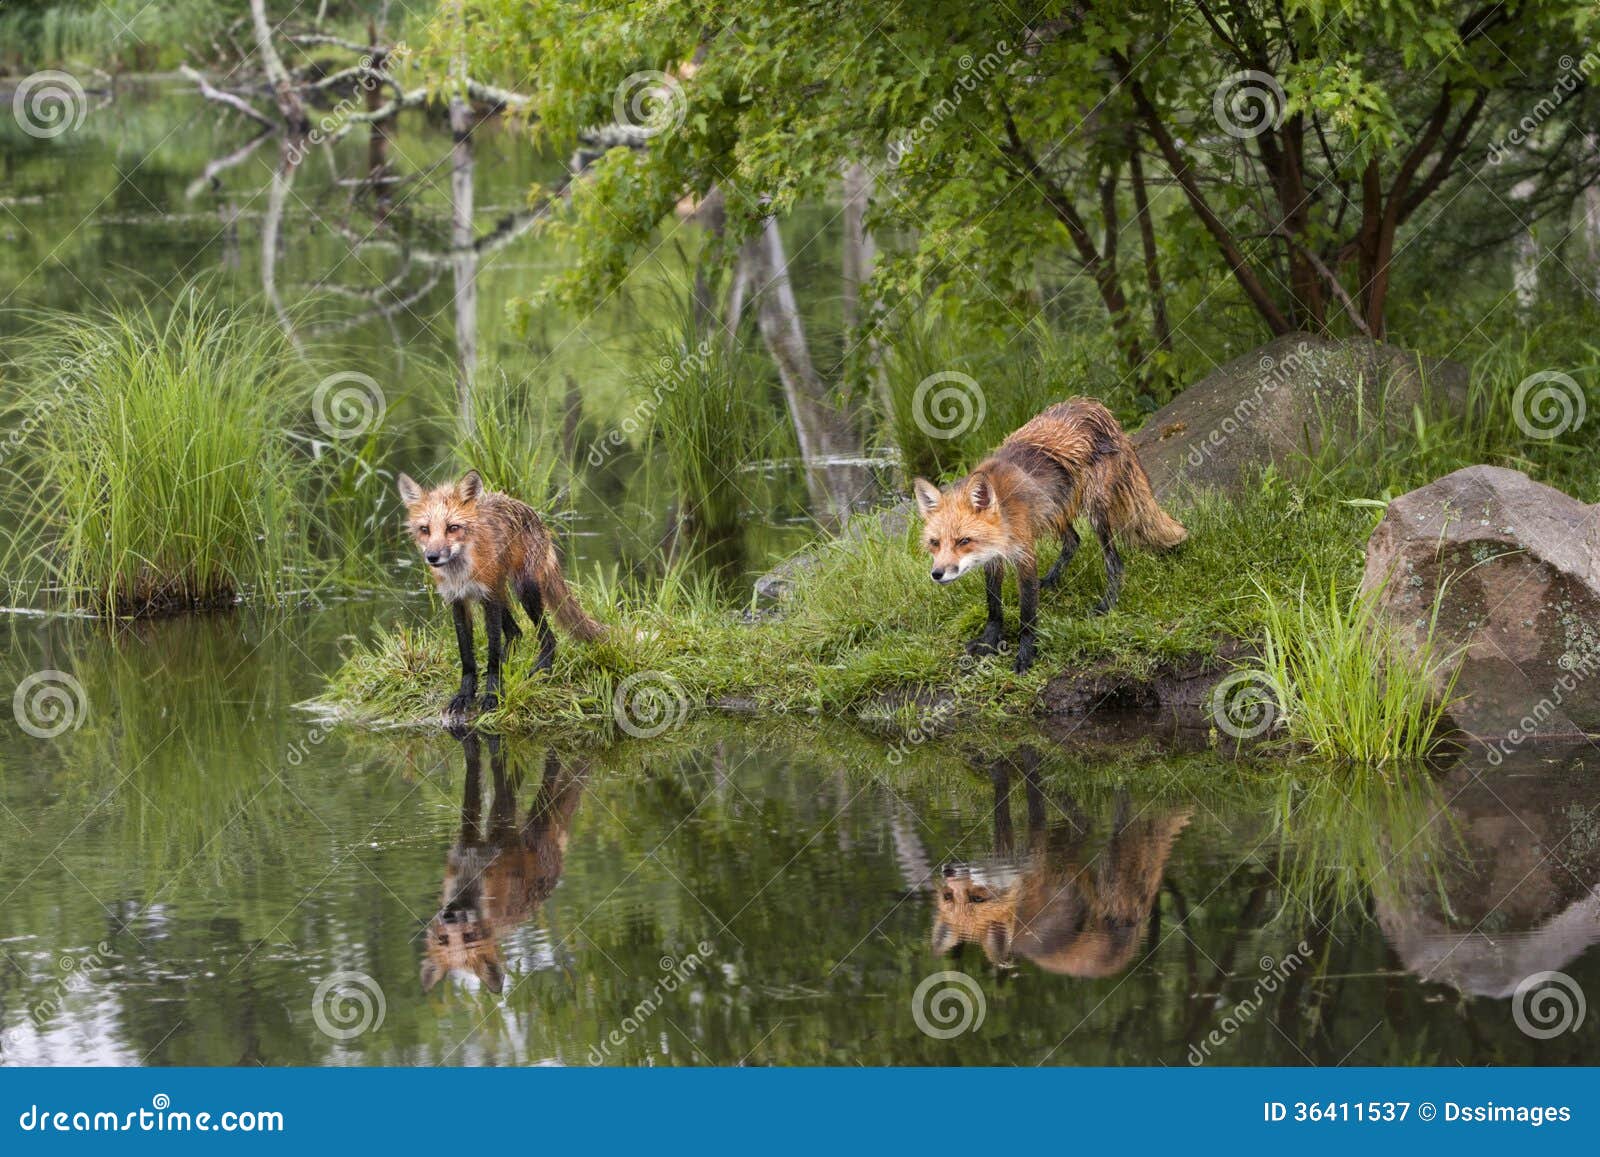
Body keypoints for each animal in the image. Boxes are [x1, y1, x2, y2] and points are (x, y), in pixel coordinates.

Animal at [397, 470, 604, 716]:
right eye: (425, 530)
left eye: (452, 528)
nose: (432, 557)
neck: (461, 574)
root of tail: (531, 512)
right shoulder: (458, 601)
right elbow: (467, 657)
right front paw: (465, 695)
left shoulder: (490, 600)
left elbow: (493, 656)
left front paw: (492, 695)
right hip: (502, 595)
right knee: (516, 633)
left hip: (524, 591)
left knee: (548, 639)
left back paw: (541, 671)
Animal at [422, 731, 587, 994]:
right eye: (443, 939)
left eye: (469, 937)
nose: (451, 916)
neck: (472, 883)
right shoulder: (467, 845)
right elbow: (475, 789)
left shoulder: (503, 840)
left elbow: (499, 785)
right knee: (516, 776)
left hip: (538, 824)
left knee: (544, 782)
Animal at [913, 397, 1186, 673]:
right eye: (935, 543)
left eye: (963, 541)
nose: (937, 574)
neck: (1006, 516)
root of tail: (1094, 406)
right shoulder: (993, 559)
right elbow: (993, 606)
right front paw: (990, 641)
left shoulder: (1024, 555)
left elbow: (1026, 615)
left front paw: (1025, 654)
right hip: (1054, 509)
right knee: (1074, 541)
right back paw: (1051, 580)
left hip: (1095, 510)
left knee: (1114, 563)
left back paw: (1107, 603)